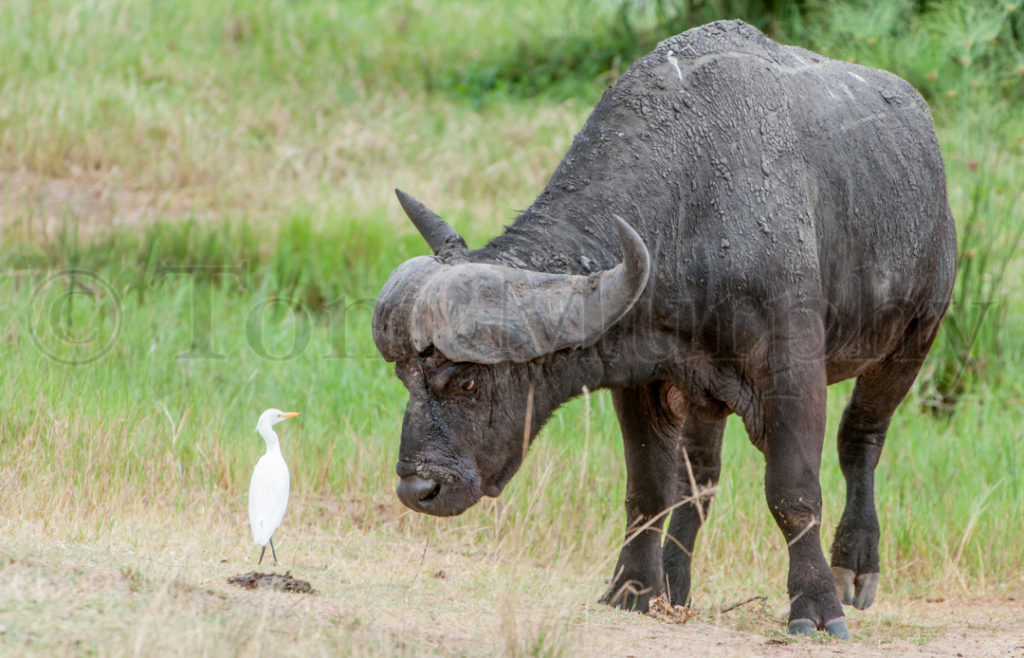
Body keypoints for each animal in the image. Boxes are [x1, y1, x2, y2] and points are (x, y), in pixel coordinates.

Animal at [372, 20, 956, 639]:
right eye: (406, 377)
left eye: (467, 381)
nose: (418, 489)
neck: (690, 211)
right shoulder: (642, 378)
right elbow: (652, 488)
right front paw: (632, 586)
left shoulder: (795, 372)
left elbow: (793, 492)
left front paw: (816, 604)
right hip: (707, 392)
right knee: (700, 476)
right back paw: (676, 581)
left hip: (913, 340)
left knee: (861, 438)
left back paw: (855, 563)